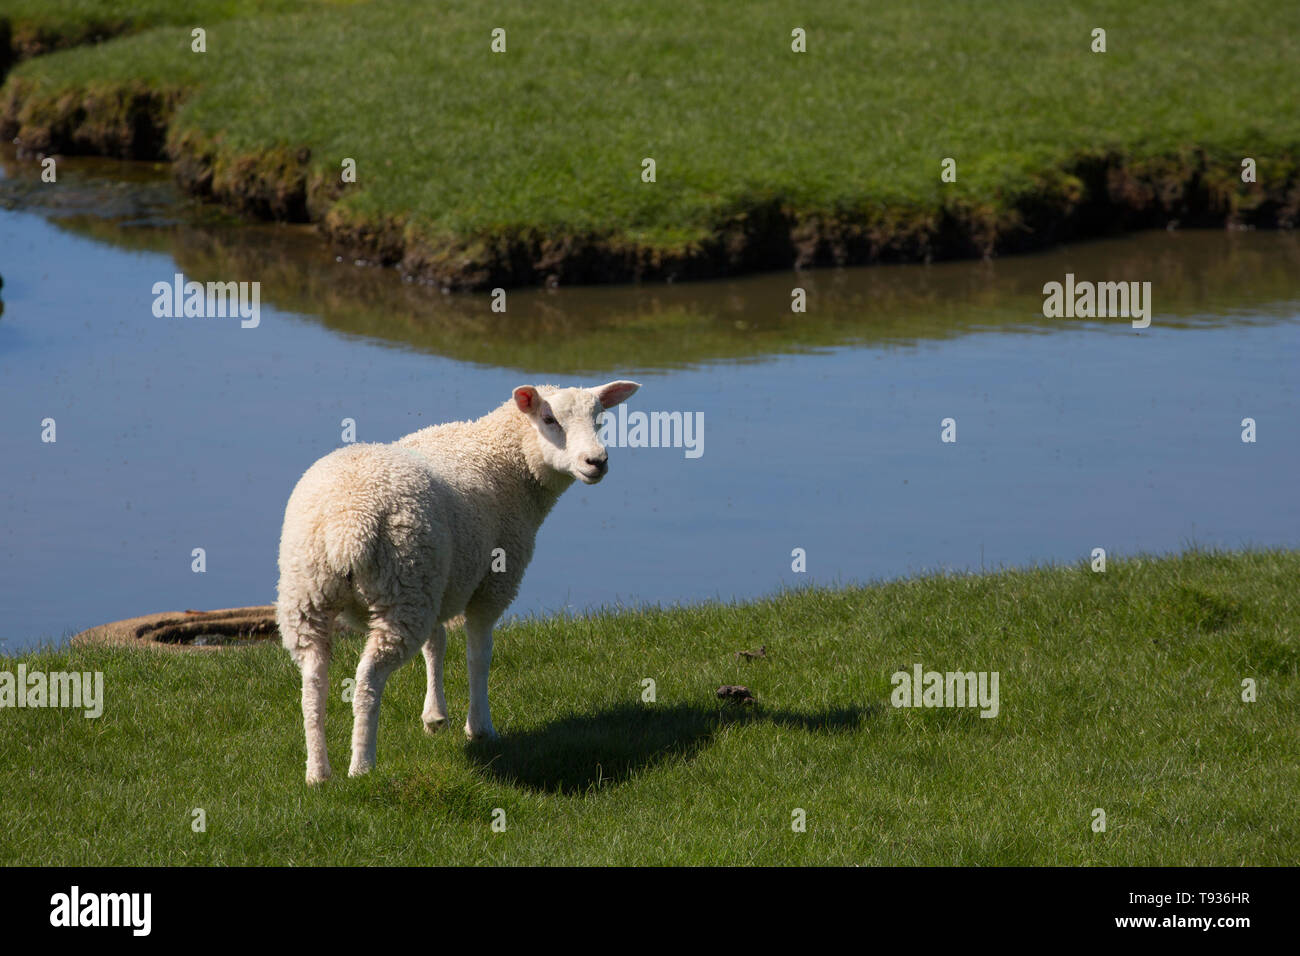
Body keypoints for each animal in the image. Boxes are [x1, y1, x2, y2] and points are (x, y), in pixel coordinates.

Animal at [276, 380, 641, 784]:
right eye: (549, 419)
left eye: (600, 419)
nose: (597, 461)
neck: (508, 461)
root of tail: (346, 526)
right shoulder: (493, 582)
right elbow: (478, 655)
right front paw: (480, 729)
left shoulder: (439, 582)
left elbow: (436, 645)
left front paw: (435, 717)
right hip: (402, 589)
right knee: (368, 679)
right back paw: (361, 765)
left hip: (313, 592)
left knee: (313, 681)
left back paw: (318, 772)